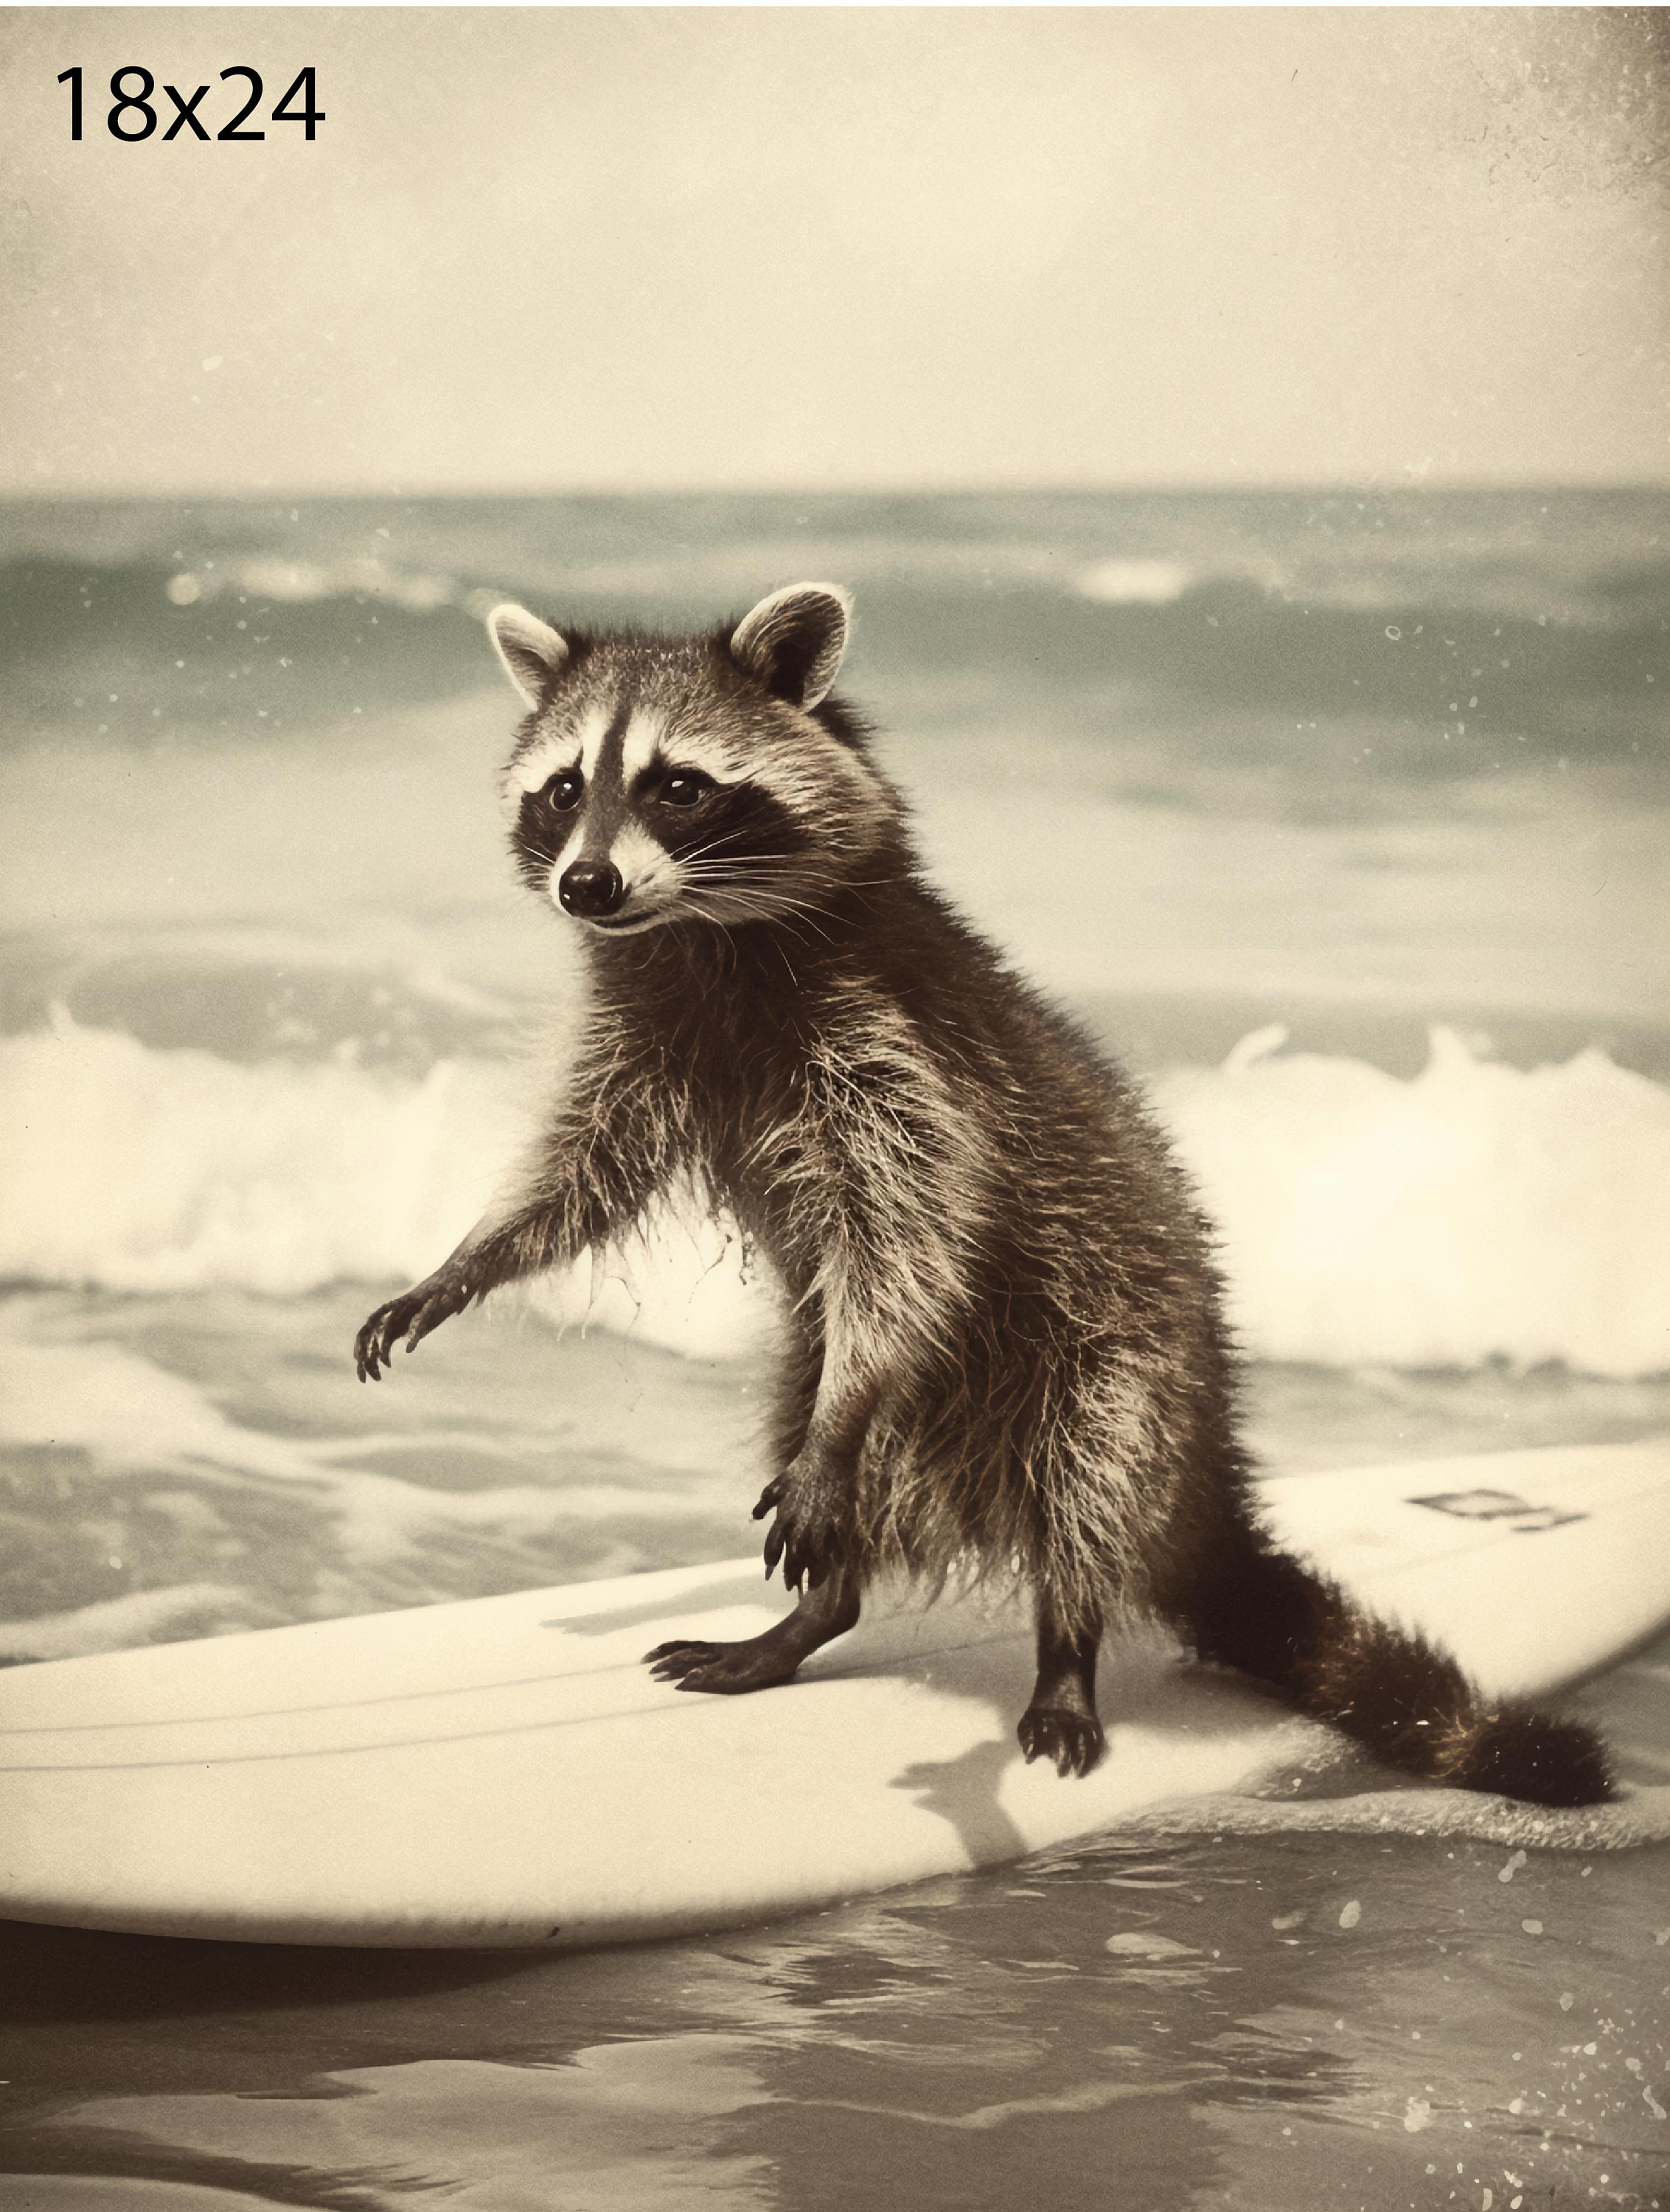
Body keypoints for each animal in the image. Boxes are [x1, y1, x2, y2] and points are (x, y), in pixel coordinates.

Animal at [355, 583, 1612, 1806]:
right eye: (565, 788)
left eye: (677, 786)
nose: (586, 884)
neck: (705, 937)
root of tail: (1208, 1472)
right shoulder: (652, 1040)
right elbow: (585, 1174)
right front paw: (470, 1260)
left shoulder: (900, 1054)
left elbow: (910, 1239)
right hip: (838, 1365)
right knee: (818, 1428)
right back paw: (817, 1615)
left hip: (1122, 1355)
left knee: (1081, 1483)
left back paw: (1063, 1644)